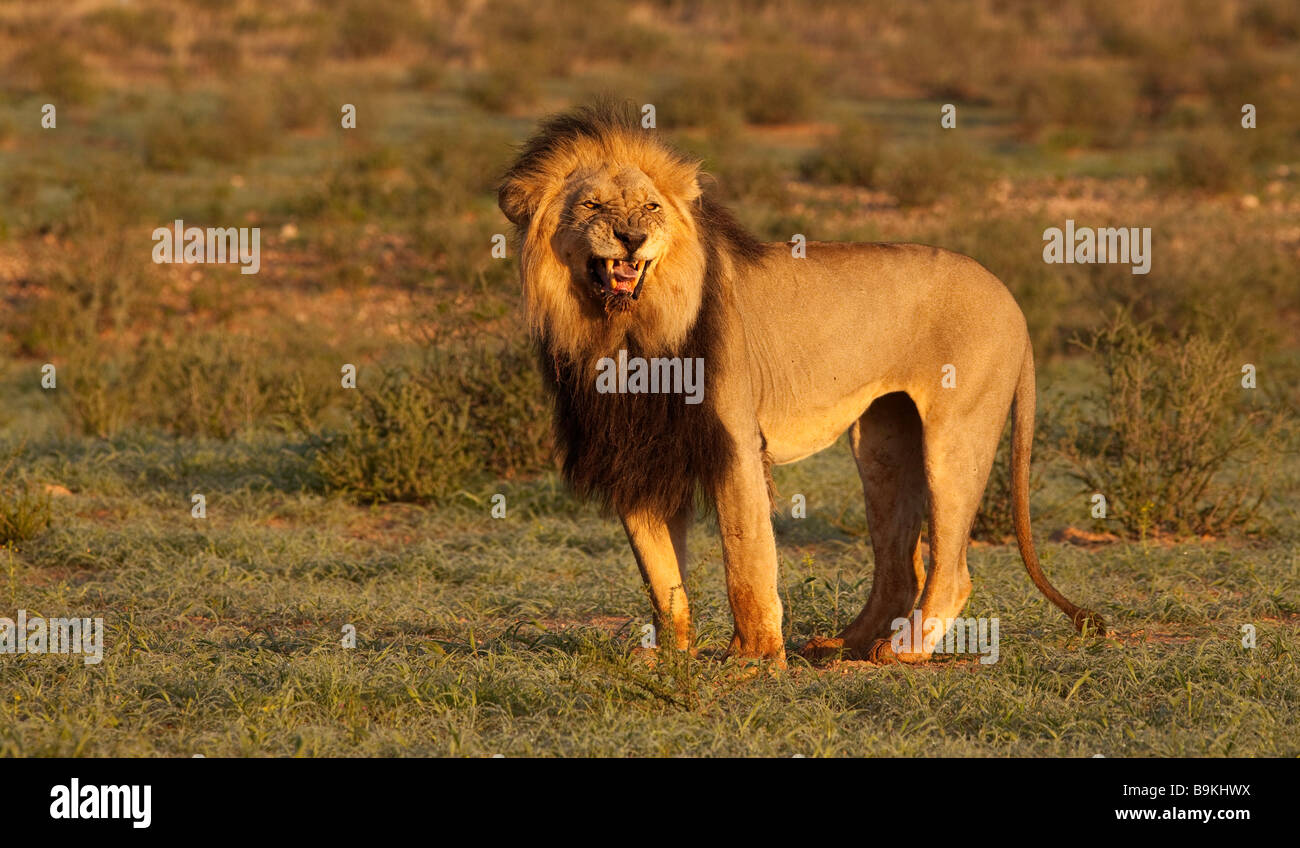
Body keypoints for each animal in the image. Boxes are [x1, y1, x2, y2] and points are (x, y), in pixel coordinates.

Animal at [498, 101, 1104, 666]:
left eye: (651, 207)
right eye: (592, 205)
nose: (632, 237)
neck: (624, 333)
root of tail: (1010, 297)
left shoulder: (735, 442)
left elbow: (746, 557)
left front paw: (753, 660)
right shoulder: (635, 453)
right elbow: (660, 574)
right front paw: (668, 655)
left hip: (956, 436)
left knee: (951, 568)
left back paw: (903, 651)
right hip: (882, 441)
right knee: (899, 564)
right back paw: (846, 647)